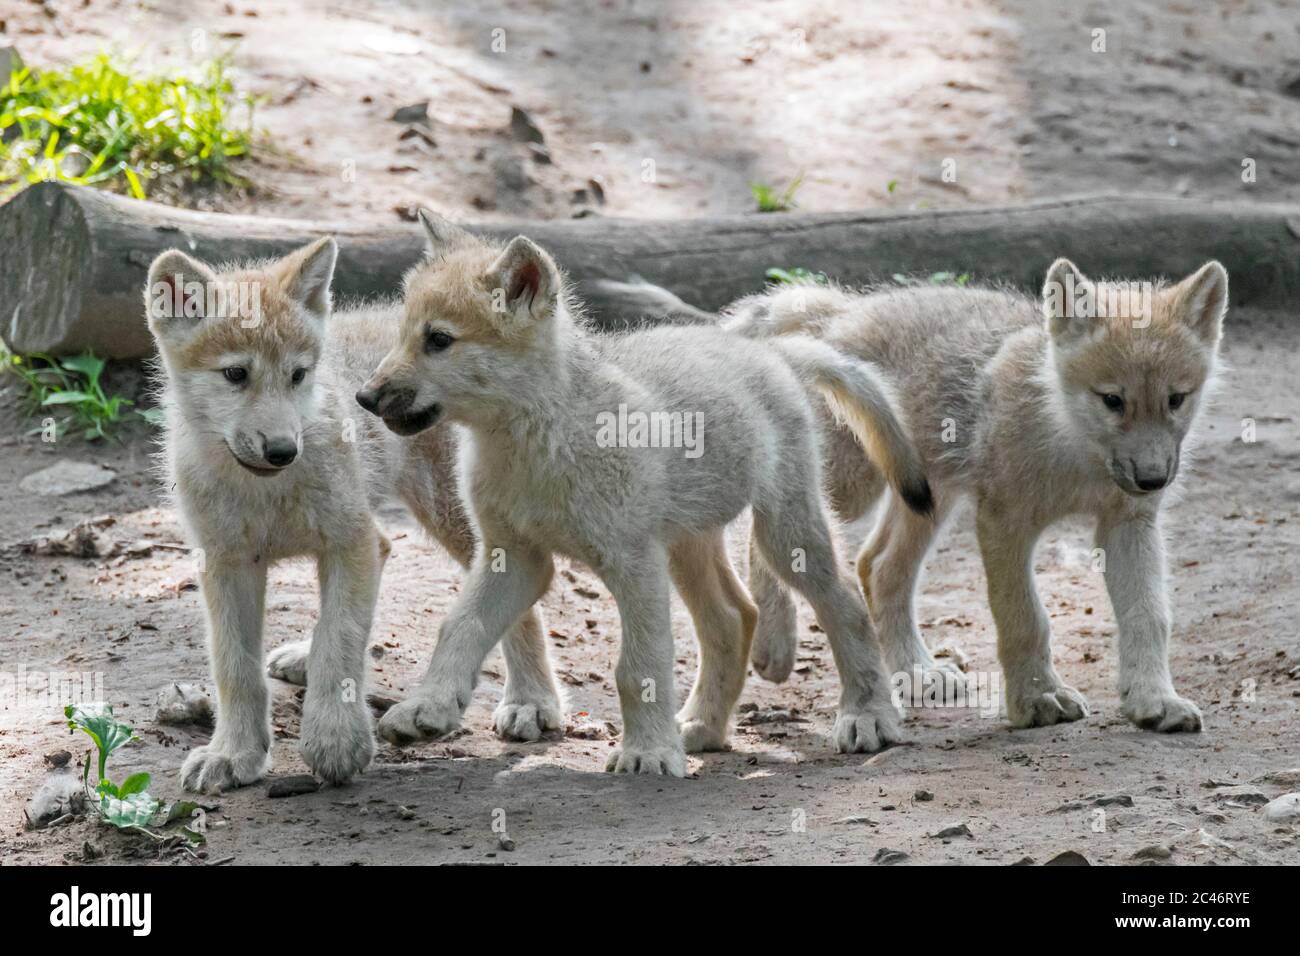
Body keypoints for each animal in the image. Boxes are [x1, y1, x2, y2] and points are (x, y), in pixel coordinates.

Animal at [145, 238, 563, 793]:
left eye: (298, 375)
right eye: (236, 374)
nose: (283, 450)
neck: (265, 491)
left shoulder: (352, 542)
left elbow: (338, 639)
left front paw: (335, 739)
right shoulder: (225, 563)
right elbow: (235, 667)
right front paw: (233, 754)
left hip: (458, 523)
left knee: (522, 599)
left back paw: (532, 701)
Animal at [354, 211, 934, 774]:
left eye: (438, 340)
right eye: (403, 335)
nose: (364, 396)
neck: (536, 441)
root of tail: (770, 351)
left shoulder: (631, 562)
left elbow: (638, 666)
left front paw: (648, 753)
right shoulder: (513, 558)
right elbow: (460, 626)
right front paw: (427, 709)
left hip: (784, 536)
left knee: (846, 603)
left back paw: (868, 716)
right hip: (688, 545)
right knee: (734, 618)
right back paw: (703, 727)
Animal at [719, 259, 1226, 732]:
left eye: (1176, 400)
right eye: (1112, 401)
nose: (1153, 479)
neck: (1072, 450)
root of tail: (839, 310)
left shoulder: (1128, 524)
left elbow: (1149, 616)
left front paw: (1154, 701)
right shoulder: (1004, 523)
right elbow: (1025, 620)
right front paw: (1038, 700)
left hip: (927, 497)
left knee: (877, 568)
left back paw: (918, 673)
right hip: (849, 488)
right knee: (764, 541)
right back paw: (774, 643)